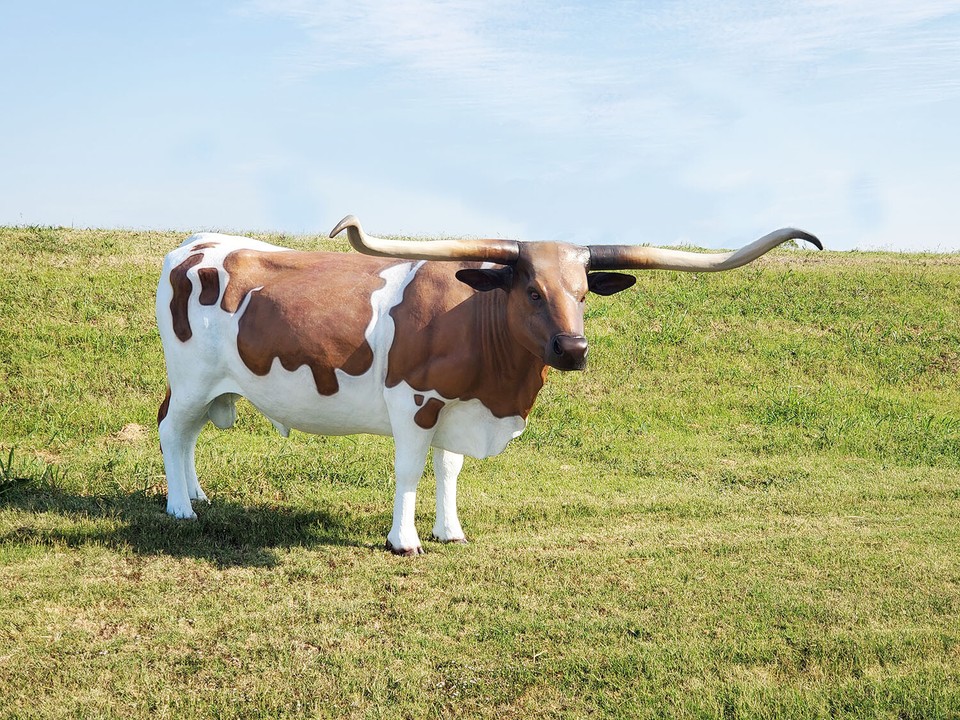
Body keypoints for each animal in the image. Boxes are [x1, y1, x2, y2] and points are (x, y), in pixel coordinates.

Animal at [156, 216, 820, 555]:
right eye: (530, 289)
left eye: (584, 292)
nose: (574, 349)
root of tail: (197, 244)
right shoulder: (414, 401)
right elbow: (410, 471)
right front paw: (405, 540)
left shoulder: (459, 405)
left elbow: (449, 469)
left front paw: (450, 530)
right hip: (190, 378)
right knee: (171, 429)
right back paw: (181, 508)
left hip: (213, 387)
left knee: (189, 436)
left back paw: (198, 496)